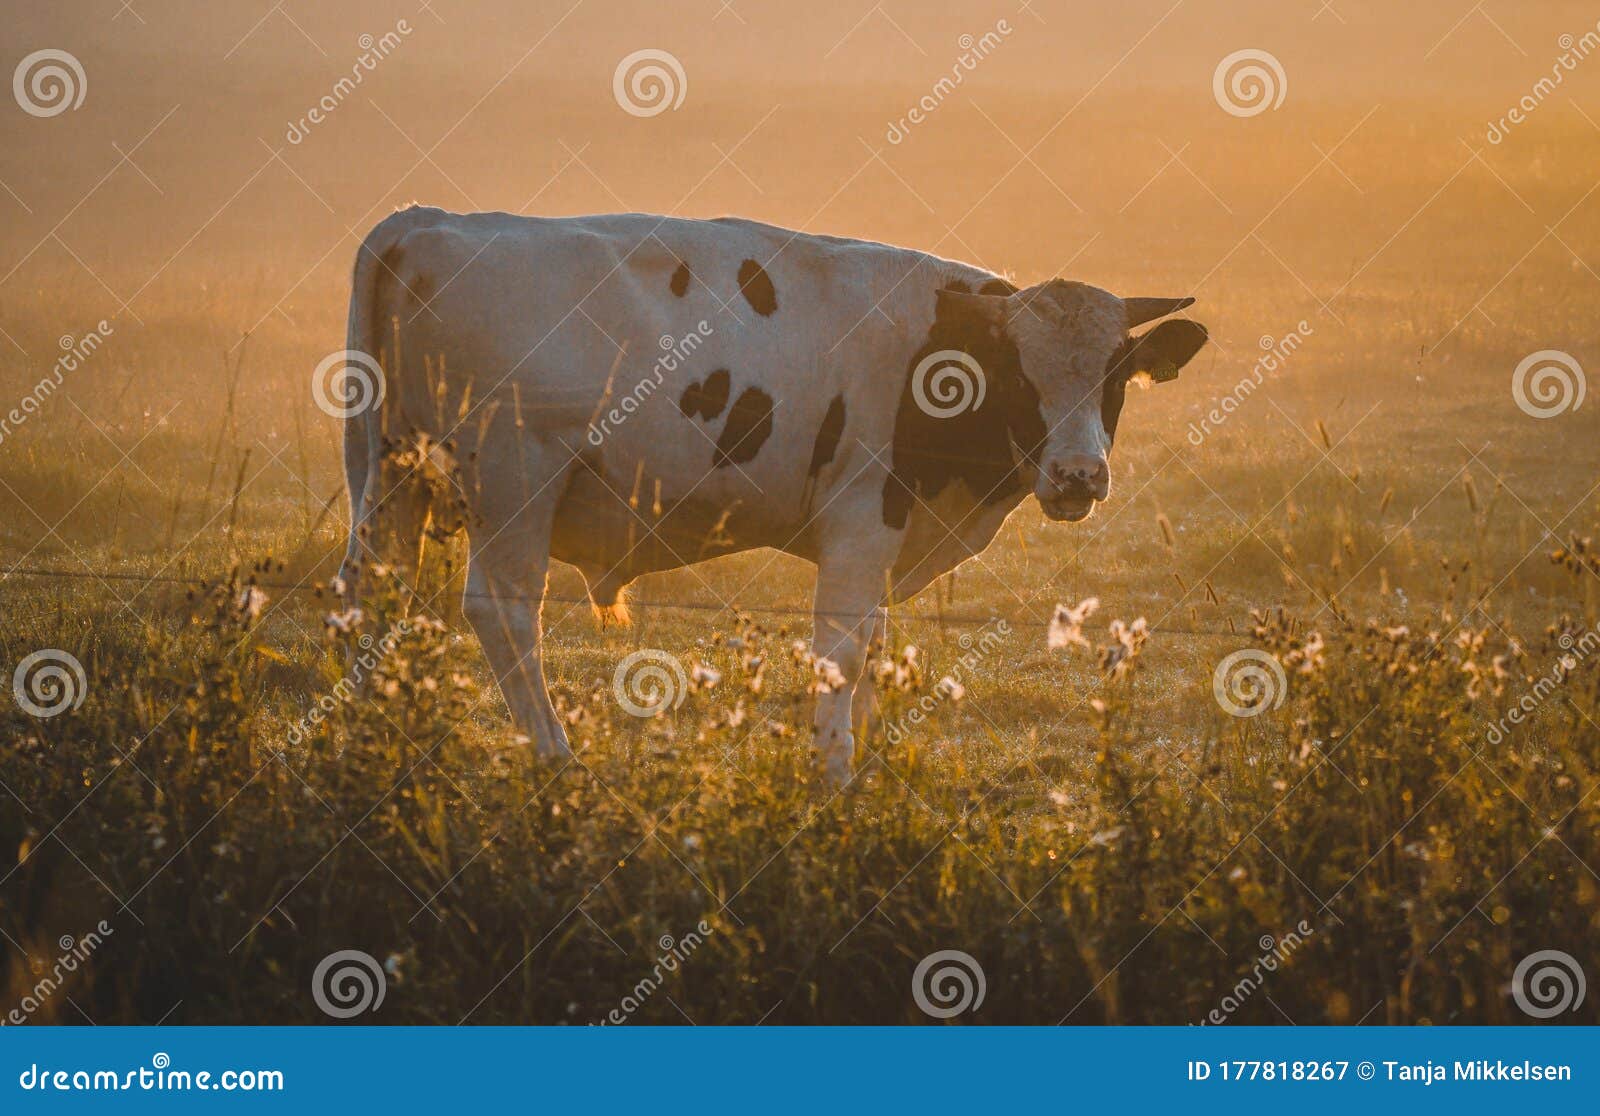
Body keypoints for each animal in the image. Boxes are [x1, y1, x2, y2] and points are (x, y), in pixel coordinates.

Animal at [336, 206, 1207, 782]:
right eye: (1024, 377)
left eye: (1115, 377)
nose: (1078, 474)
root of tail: (429, 224)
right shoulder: (862, 522)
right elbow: (844, 649)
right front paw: (835, 767)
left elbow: (876, 644)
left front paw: (868, 752)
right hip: (515, 476)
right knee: (505, 610)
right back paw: (553, 751)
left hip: (388, 475)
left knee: (370, 592)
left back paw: (371, 735)